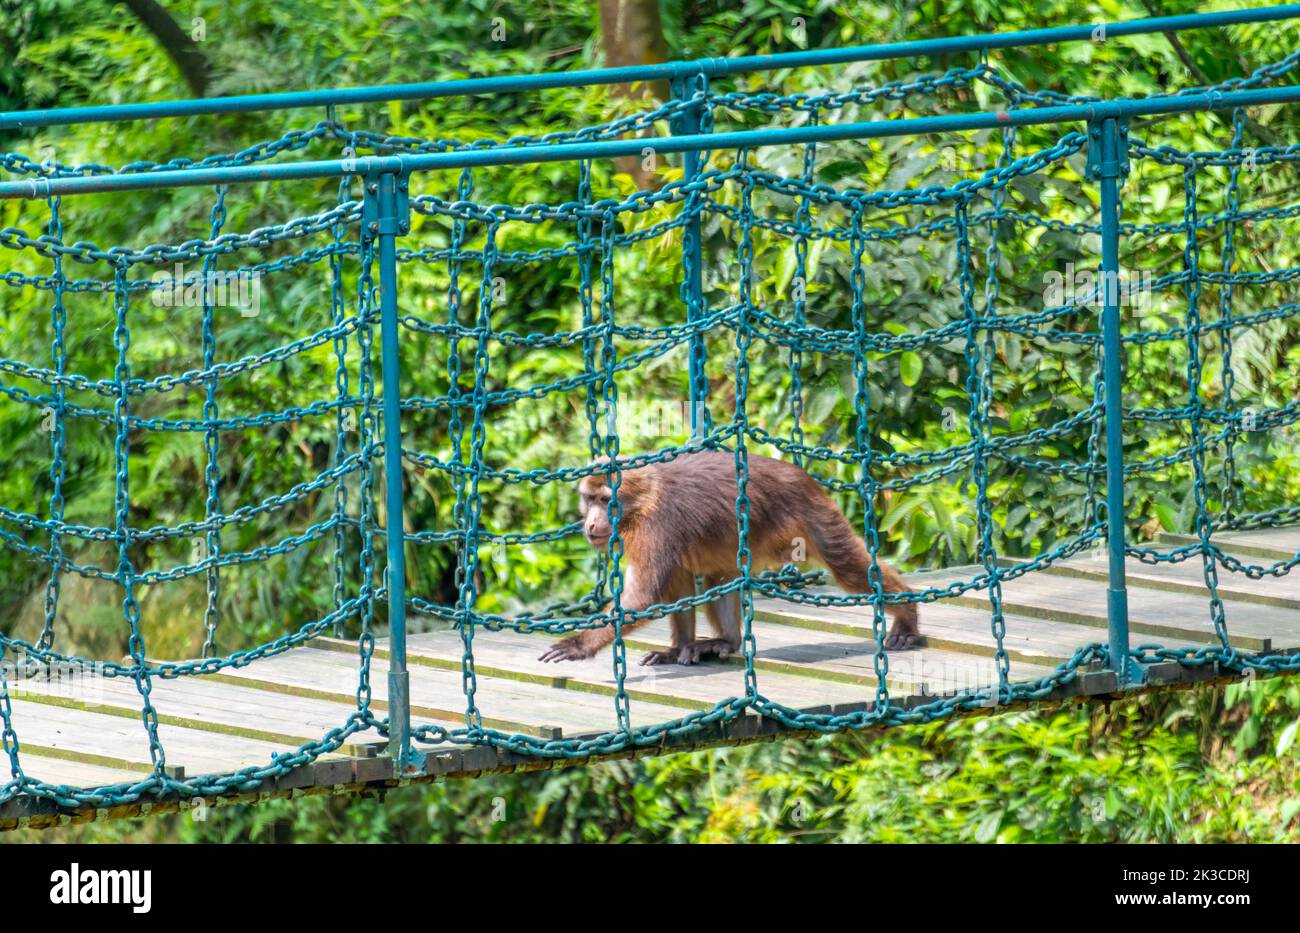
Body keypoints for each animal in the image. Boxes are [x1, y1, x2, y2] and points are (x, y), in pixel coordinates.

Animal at [537, 449, 921, 665]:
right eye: (589, 499)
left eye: (606, 501)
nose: (591, 522)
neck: (640, 504)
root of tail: (799, 474)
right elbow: (676, 588)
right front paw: (678, 649)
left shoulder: (655, 528)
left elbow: (644, 596)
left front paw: (578, 645)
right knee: (717, 576)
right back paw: (728, 642)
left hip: (809, 511)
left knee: (847, 566)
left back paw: (907, 615)